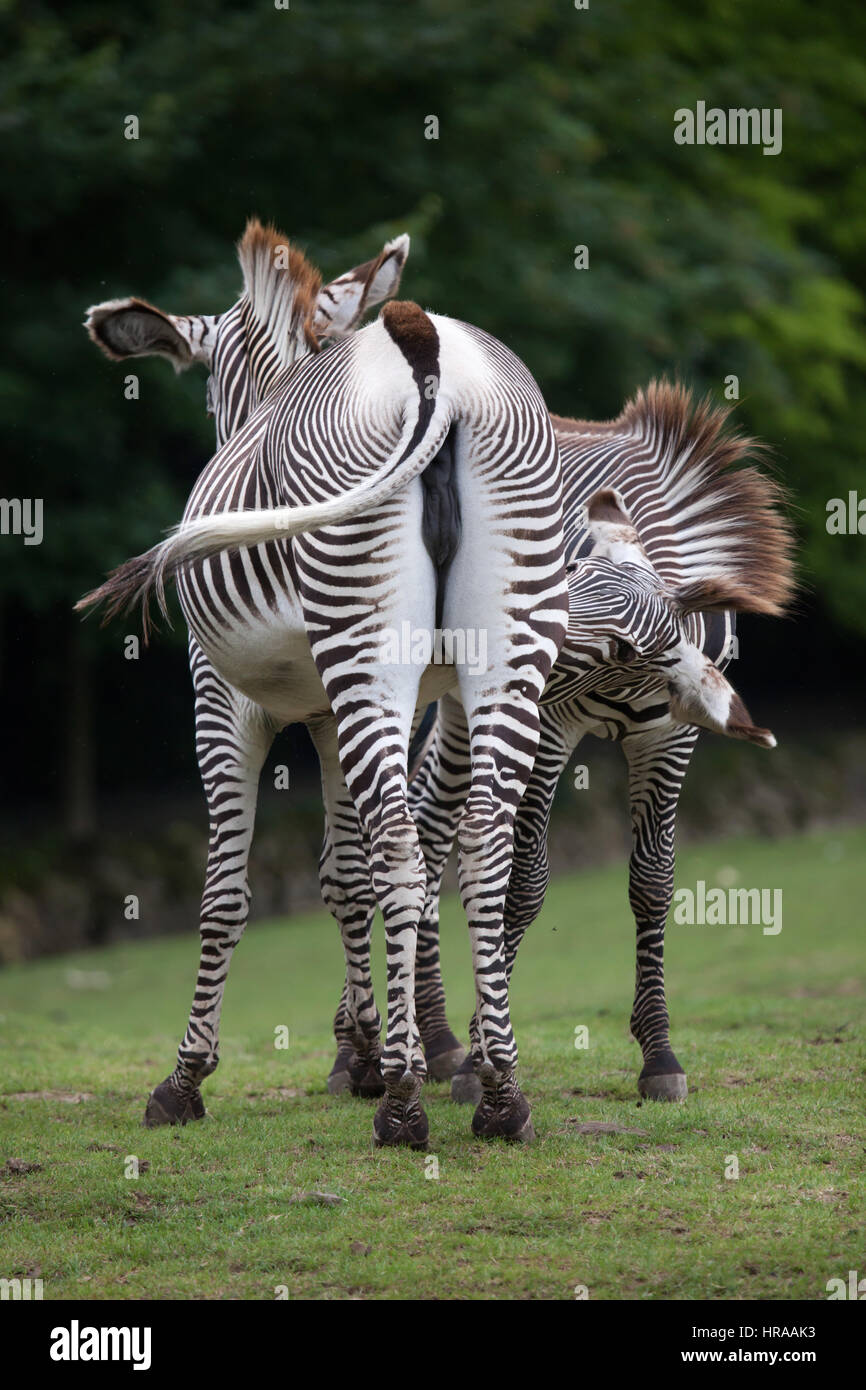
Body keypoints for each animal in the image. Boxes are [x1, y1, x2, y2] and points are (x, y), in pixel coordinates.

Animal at [78, 221, 570, 1149]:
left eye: (207, 395)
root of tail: (423, 347)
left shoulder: (223, 701)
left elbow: (226, 893)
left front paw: (187, 1079)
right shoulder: (331, 713)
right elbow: (346, 876)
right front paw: (364, 1052)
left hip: (363, 638)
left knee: (406, 846)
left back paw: (408, 1108)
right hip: (501, 645)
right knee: (478, 841)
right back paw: (499, 1093)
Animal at [404, 383, 794, 1114]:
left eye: (622, 648)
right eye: (573, 567)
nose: (504, 634)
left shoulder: (672, 738)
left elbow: (653, 881)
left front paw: (658, 1052)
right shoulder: (549, 727)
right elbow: (524, 885)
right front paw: (482, 1057)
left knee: (425, 820)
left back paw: (429, 1036)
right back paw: (371, 1053)